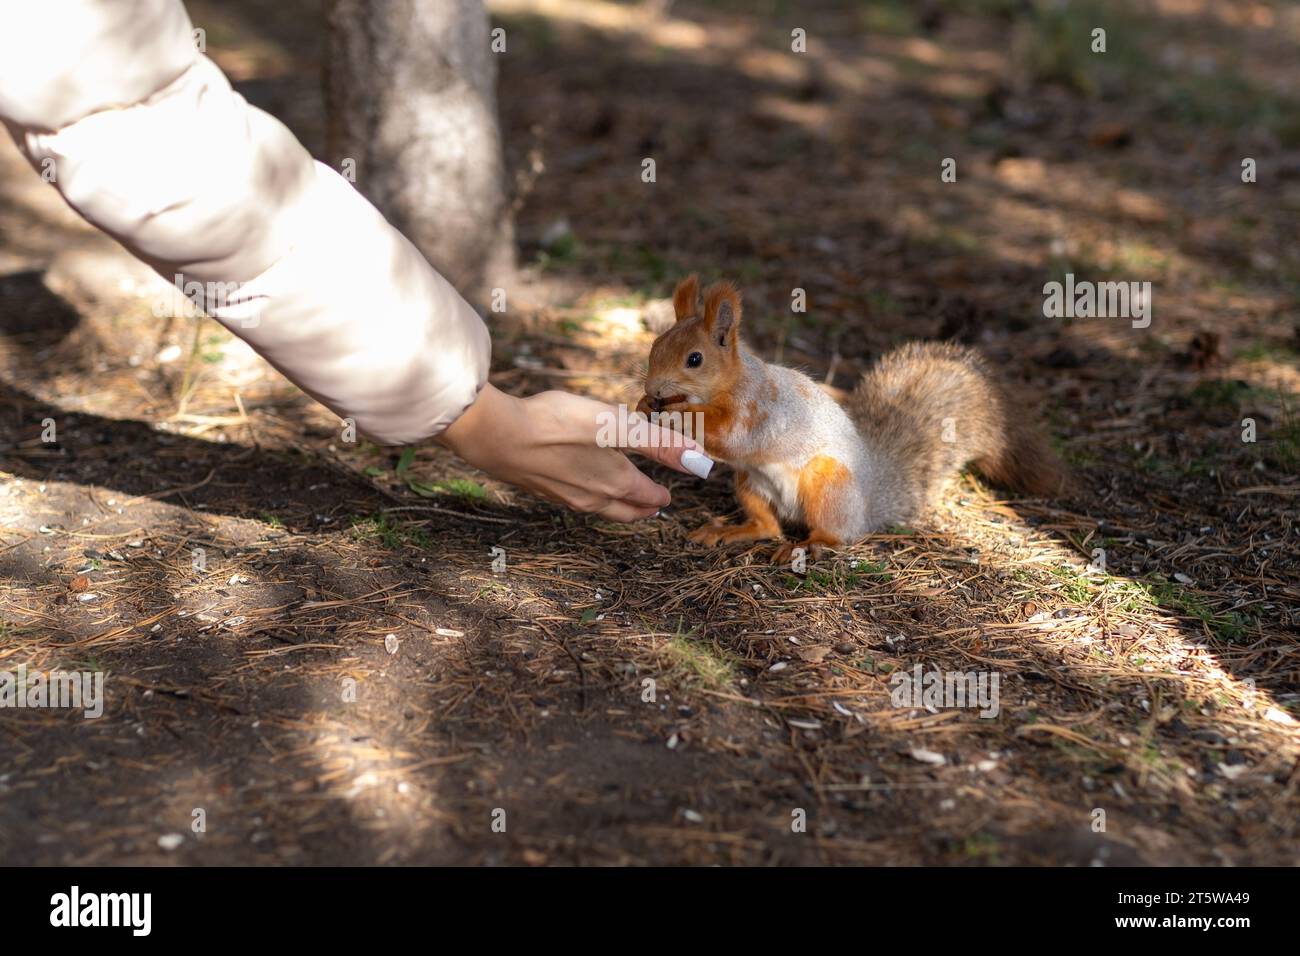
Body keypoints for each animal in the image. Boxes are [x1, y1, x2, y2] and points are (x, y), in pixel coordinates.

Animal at [636, 275, 1065, 563]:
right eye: (655, 346)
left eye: (695, 359)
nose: (654, 388)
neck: (730, 384)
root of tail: (868, 504)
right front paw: (643, 406)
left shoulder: (760, 410)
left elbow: (729, 436)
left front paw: (678, 416)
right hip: (750, 484)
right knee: (769, 527)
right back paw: (732, 530)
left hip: (828, 483)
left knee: (836, 535)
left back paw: (809, 545)